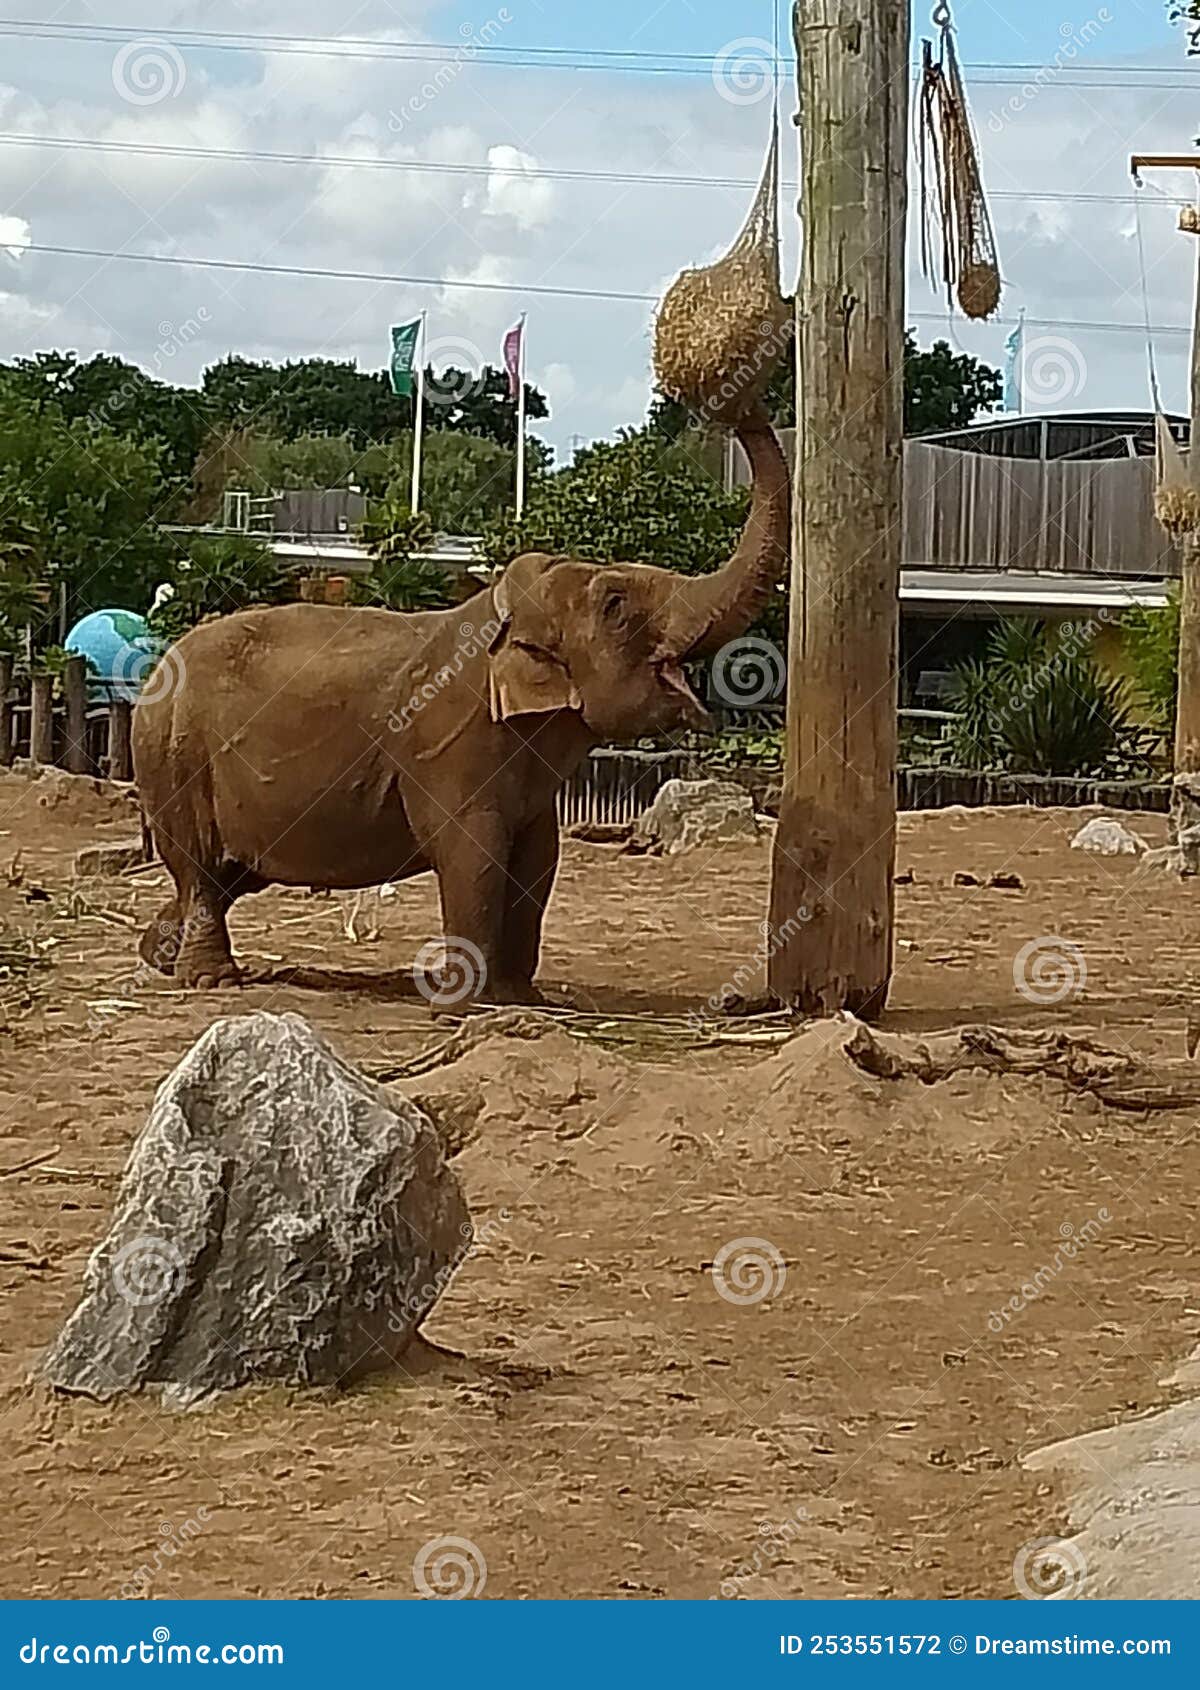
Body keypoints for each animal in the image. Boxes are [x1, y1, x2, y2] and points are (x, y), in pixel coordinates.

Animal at [131, 399, 790, 1002]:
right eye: (615, 605)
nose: (741, 406)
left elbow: (537, 860)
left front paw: (521, 1000)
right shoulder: (449, 745)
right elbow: (473, 853)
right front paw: (467, 1004)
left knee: (227, 875)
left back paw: (158, 954)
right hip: (175, 761)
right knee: (198, 866)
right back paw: (209, 978)